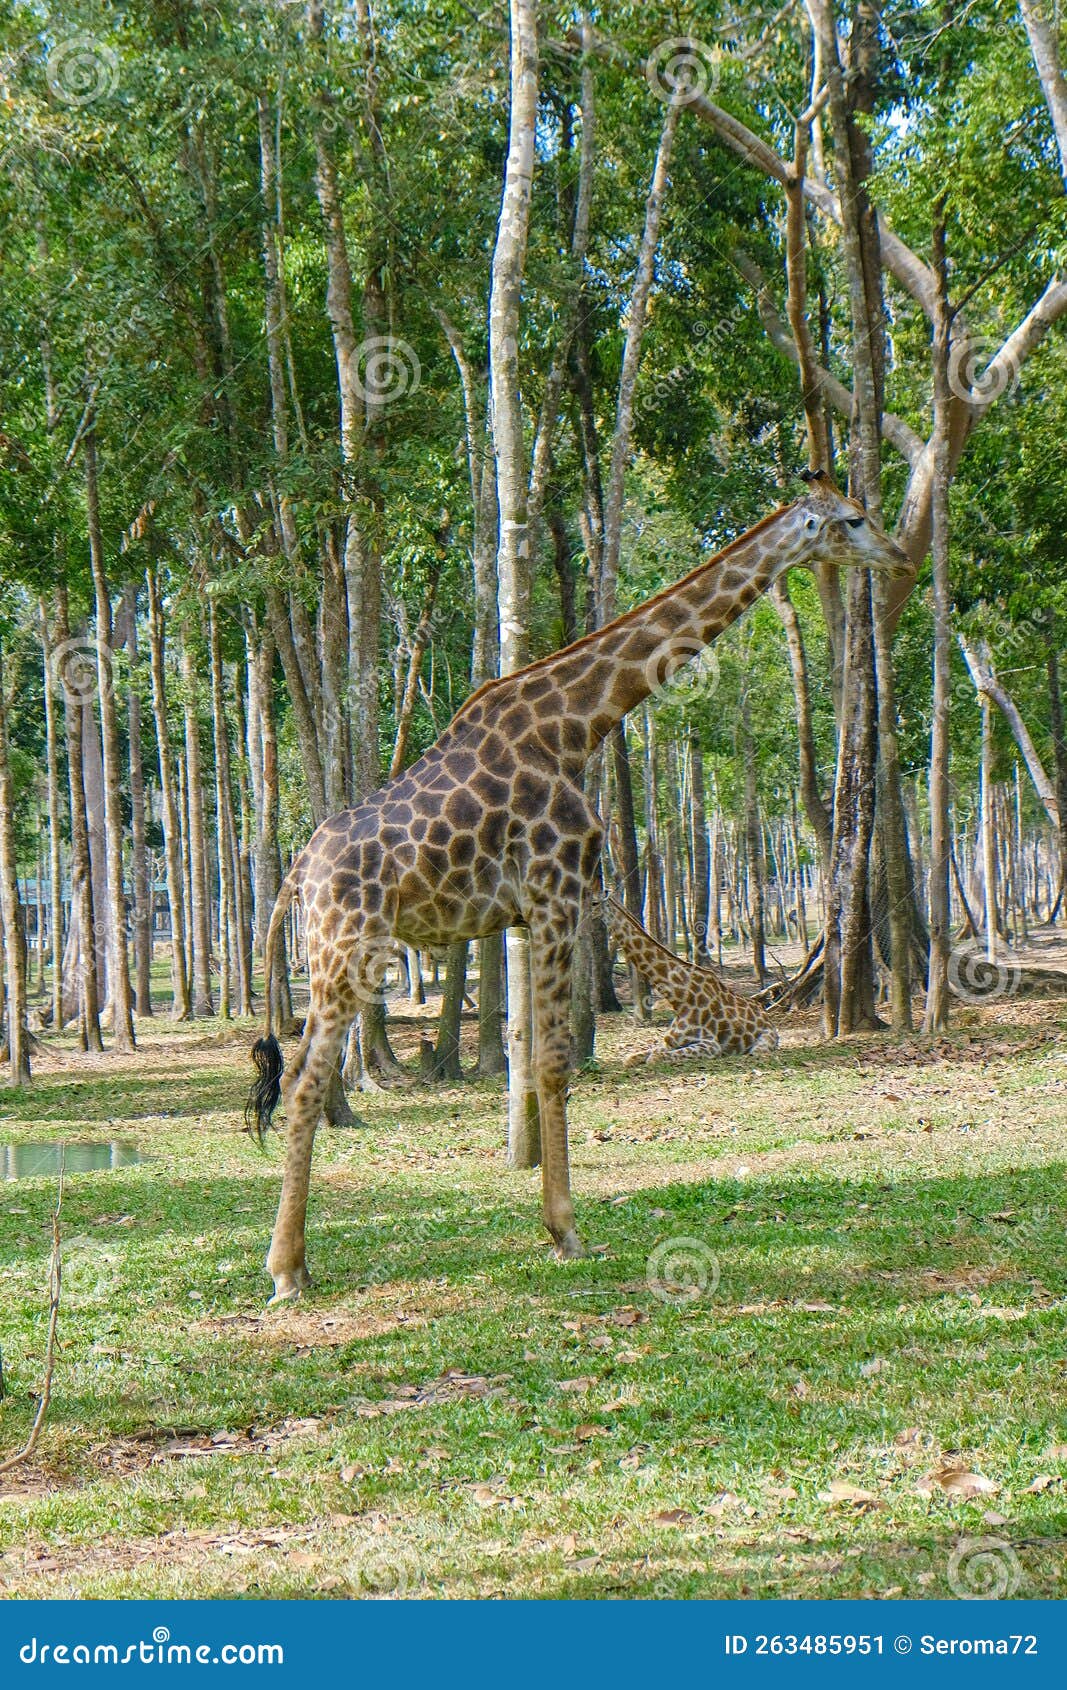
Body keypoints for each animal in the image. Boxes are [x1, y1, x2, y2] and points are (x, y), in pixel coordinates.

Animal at [601, 894, 778, 1063]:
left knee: (758, 1053)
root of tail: (768, 1017)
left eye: (596, 903)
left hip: (763, 1043)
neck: (680, 997)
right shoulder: (669, 1041)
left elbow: (654, 1058)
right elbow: (631, 1058)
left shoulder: (711, 1045)